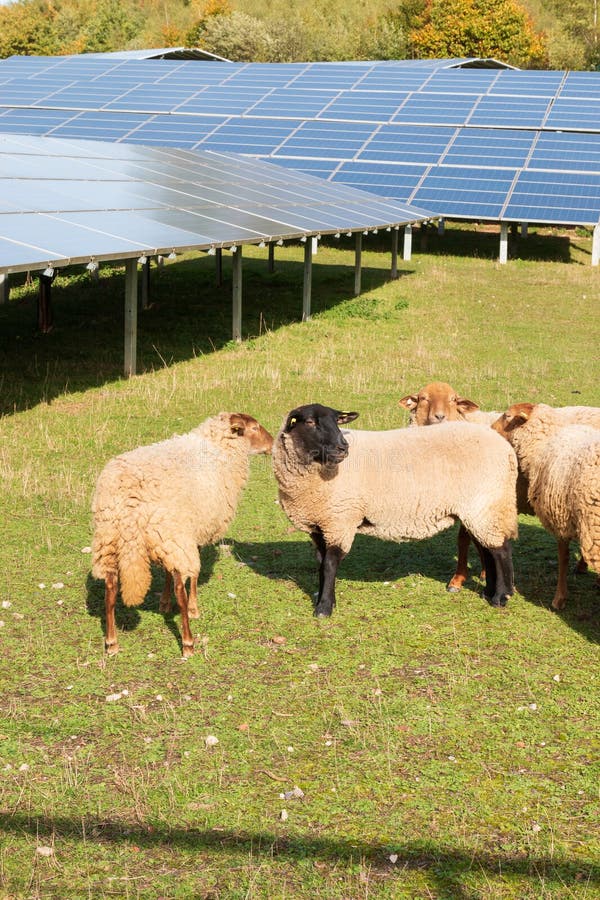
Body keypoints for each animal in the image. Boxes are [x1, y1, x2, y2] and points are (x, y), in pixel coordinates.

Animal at [92, 412, 273, 657]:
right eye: (254, 428)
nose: (273, 444)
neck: (219, 448)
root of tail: (128, 500)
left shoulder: (174, 537)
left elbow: (168, 572)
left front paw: (164, 602)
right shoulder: (195, 529)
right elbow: (194, 573)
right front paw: (193, 607)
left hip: (109, 540)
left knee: (110, 591)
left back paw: (111, 643)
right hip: (170, 535)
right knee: (181, 590)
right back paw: (188, 642)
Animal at [272, 403, 518, 617]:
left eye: (336, 421)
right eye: (310, 422)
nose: (343, 447)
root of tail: (505, 447)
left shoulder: (339, 520)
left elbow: (330, 565)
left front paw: (324, 608)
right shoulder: (318, 525)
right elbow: (321, 564)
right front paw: (324, 598)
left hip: (488, 503)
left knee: (501, 550)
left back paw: (501, 596)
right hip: (478, 509)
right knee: (487, 548)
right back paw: (488, 592)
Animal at [492, 402, 600, 610]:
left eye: (507, 416)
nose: (490, 428)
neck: (543, 445)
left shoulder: (560, 517)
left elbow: (563, 558)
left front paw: (559, 598)